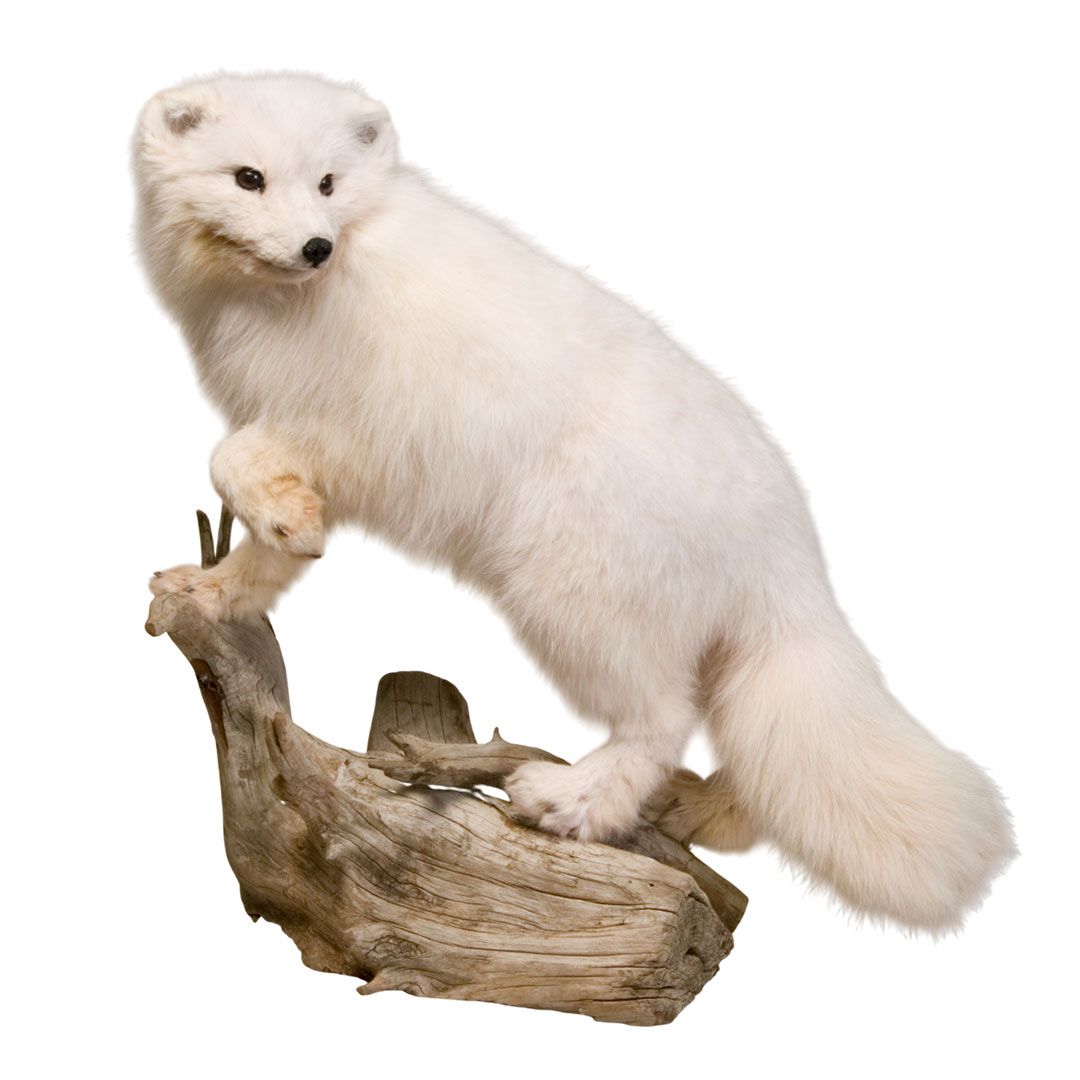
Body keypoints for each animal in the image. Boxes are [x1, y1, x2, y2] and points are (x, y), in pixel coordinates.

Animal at [135, 72, 1015, 932]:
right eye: (248, 178)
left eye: (327, 183)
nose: (314, 246)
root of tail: (790, 557)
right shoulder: (315, 444)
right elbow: (266, 548)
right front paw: (223, 584)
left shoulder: (357, 431)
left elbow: (228, 460)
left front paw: (278, 524)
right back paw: (697, 810)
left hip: (575, 600)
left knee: (661, 722)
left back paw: (573, 803)